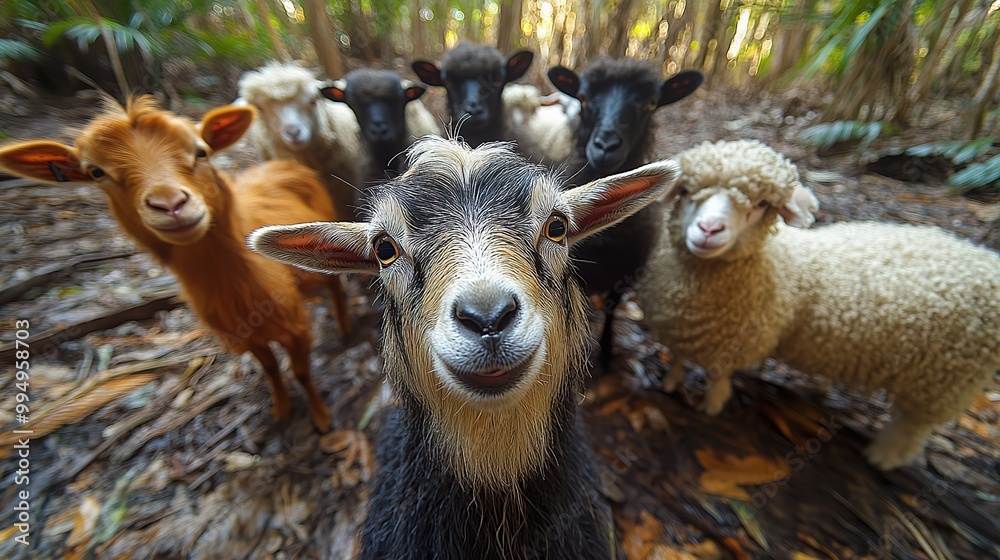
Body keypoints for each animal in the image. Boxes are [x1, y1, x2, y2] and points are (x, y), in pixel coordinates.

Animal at [0, 97, 352, 432]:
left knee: (335, 287)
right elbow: (270, 368)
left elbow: (302, 371)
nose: (171, 205)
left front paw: (321, 417)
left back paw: (342, 324)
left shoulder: (294, 324)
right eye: (96, 172)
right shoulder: (246, 333)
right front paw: (281, 409)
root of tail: (281, 162)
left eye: (201, 152)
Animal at [547, 58, 703, 364]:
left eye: (651, 103)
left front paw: (606, 351)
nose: (606, 146)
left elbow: (611, 306)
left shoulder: (625, 272)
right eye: (583, 98)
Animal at [636, 139, 1000, 470]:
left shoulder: (737, 341)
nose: (709, 229)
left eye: (762, 203)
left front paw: (711, 404)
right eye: (686, 191)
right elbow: (678, 358)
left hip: (943, 380)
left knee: (912, 427)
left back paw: (884, 457)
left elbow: (719, 375)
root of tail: (987, 262)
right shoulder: (678, 324)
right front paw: (670, 383)